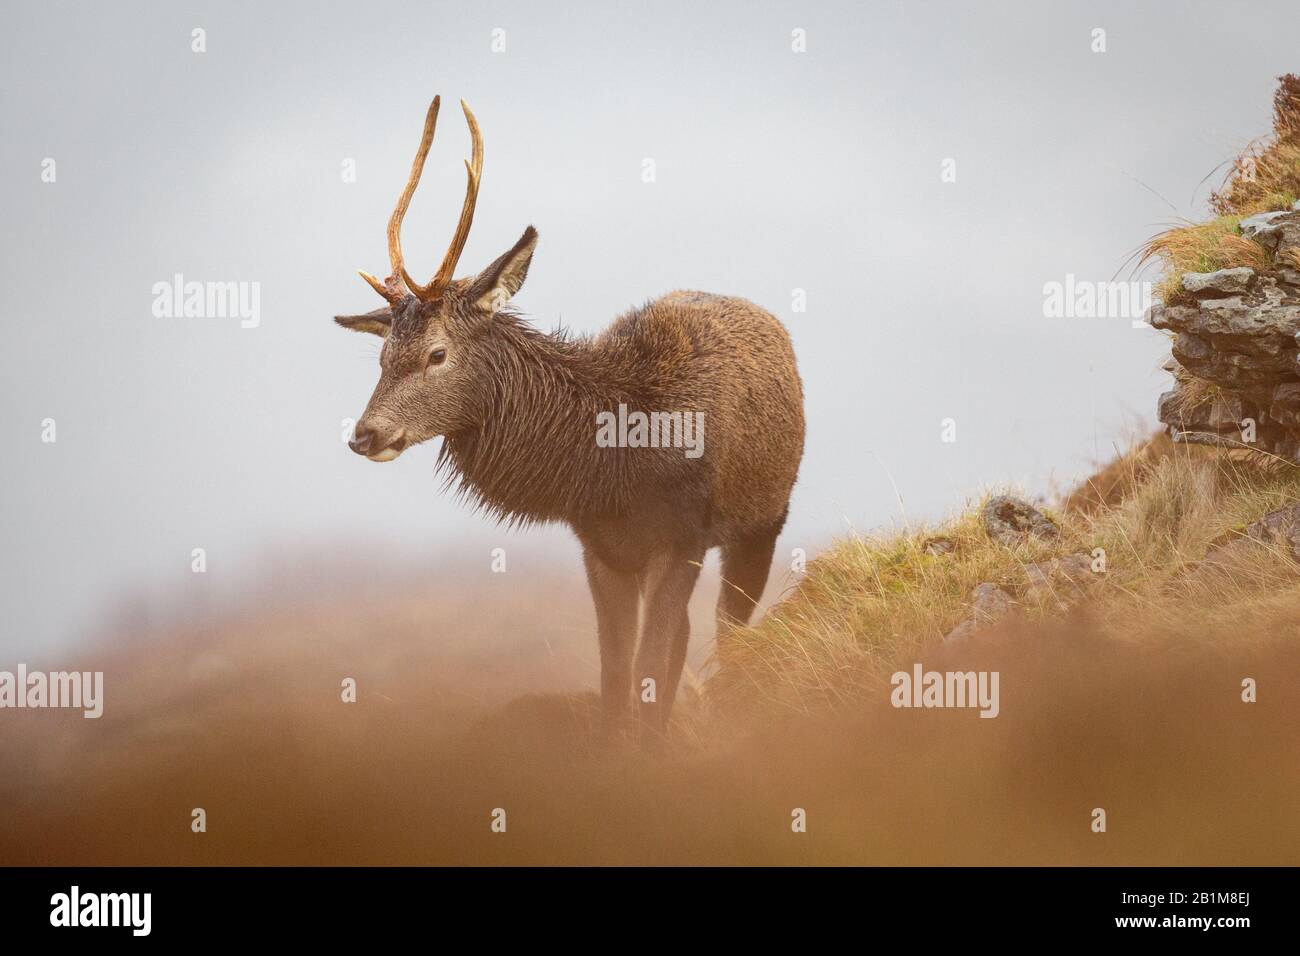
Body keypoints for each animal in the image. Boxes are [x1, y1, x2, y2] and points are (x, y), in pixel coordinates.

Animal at [335, 96, 805, 740]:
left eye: (437, 354)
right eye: (382, 356)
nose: (365, 434)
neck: (618, 461)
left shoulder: (683, 534)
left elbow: (650, 668)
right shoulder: (600, 545)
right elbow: (616, 677)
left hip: (764, 517)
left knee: (728, 630)